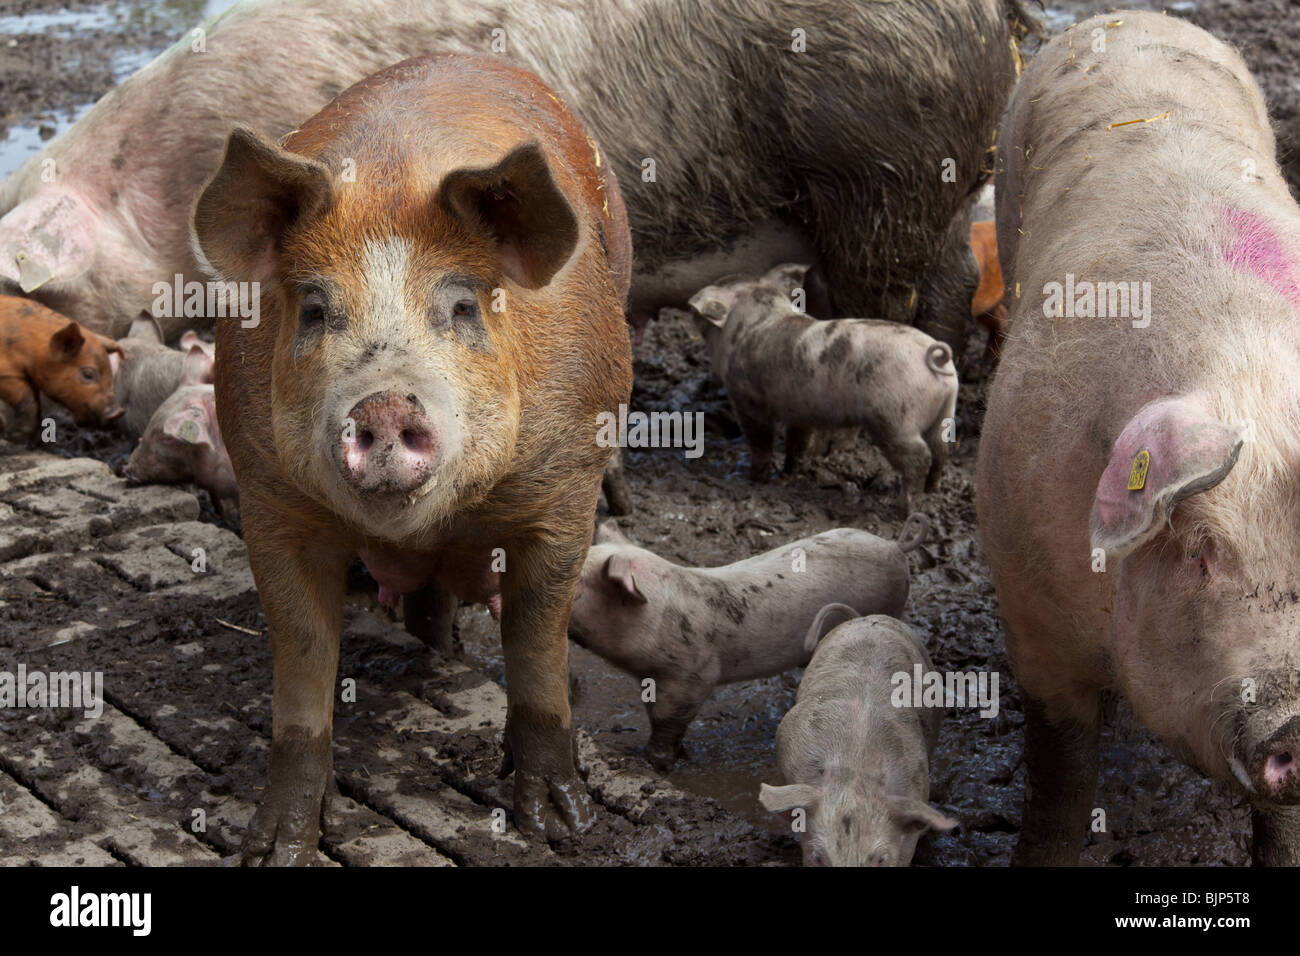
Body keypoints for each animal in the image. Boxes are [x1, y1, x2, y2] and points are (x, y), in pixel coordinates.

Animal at [0, 294, 121, 439]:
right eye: (88, 374)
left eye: (110, 371)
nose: (118, 412)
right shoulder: (5, 373)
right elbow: (27, 399)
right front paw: (10, 435)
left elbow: (36, 401)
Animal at [190, 53, 633, 861]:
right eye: (314, 310)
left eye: (461, 306)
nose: (385, 405)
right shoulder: (267, 496)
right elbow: (301, 662)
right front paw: (275, 847)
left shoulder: (562, 488)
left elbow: (536, 645)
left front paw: (560, 825)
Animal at [567, 514, 930, 770]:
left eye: (577, 584)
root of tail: (895, 546)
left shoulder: (693, 675)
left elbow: (667, 720)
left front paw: (655, 761)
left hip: (889, 603)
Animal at [689, 267, 959, 509]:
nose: (690, 306)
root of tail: (934, 358)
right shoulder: (799, 409)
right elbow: (797, 443)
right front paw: (786, 477)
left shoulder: (747, 397)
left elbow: (760, 442)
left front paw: (753, 479)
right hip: (945, 409)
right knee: (940, 449)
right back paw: (932, 491)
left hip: (895, 415)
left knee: (919, 457)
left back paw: (902, 507)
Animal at [980, 11, 1300, 865]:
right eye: (1200, 553)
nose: (1295, 718)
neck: (1252, 383)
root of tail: (1129, 16)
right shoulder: (1031, 616)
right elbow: (1060, 777)